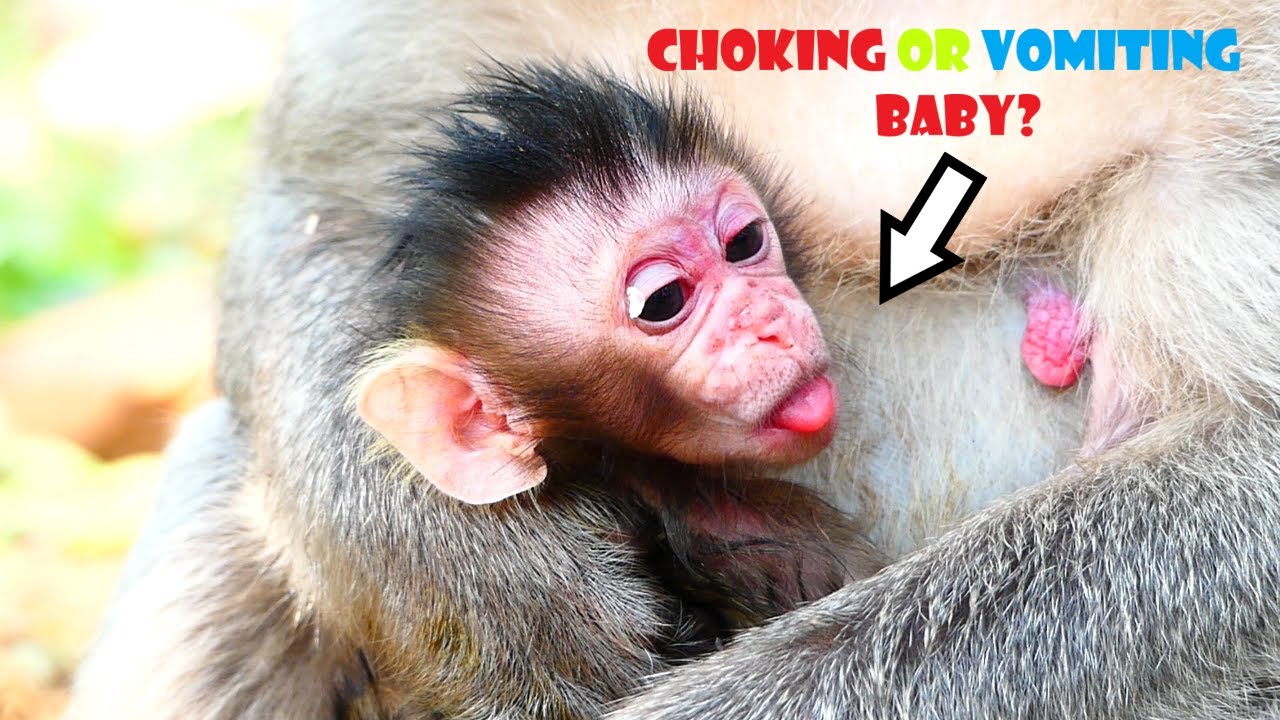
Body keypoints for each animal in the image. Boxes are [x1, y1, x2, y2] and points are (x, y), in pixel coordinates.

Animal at [68, 0, 1280, 718]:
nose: (770, 327)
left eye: (746, 243)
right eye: (662, 301)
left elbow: (1245, 466)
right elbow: (320, 200)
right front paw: (486, 577)